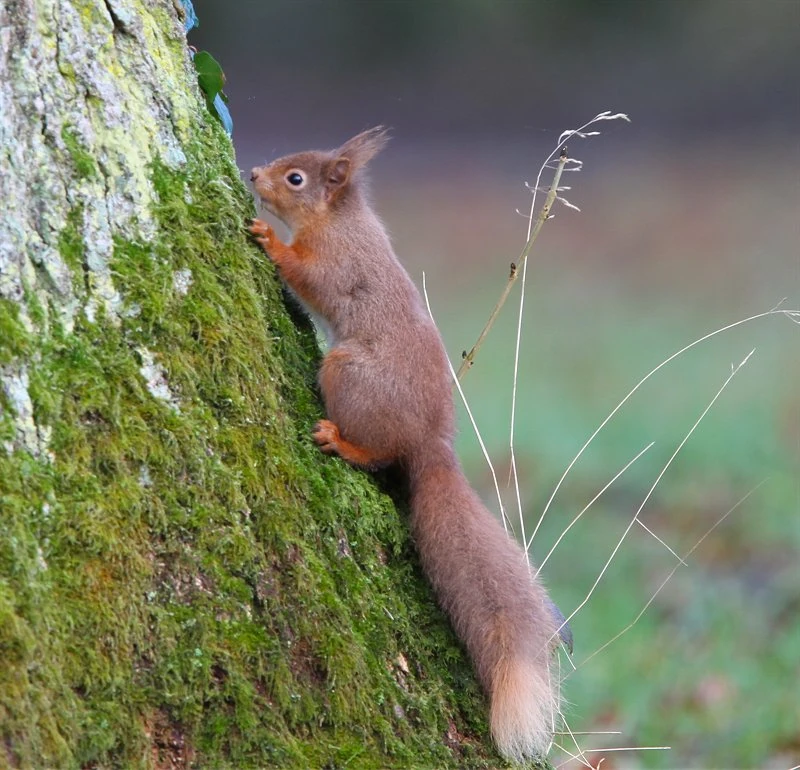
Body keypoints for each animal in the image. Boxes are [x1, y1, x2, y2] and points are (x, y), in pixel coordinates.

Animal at [248, 127, 569, 762]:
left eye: (296, 179)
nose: (251, 175)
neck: (340, 219)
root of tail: (430, 443)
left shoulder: (339, 263)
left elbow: (309, 275)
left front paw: (268, 238)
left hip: (347, 375)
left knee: (378, 455)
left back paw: (341, 442)